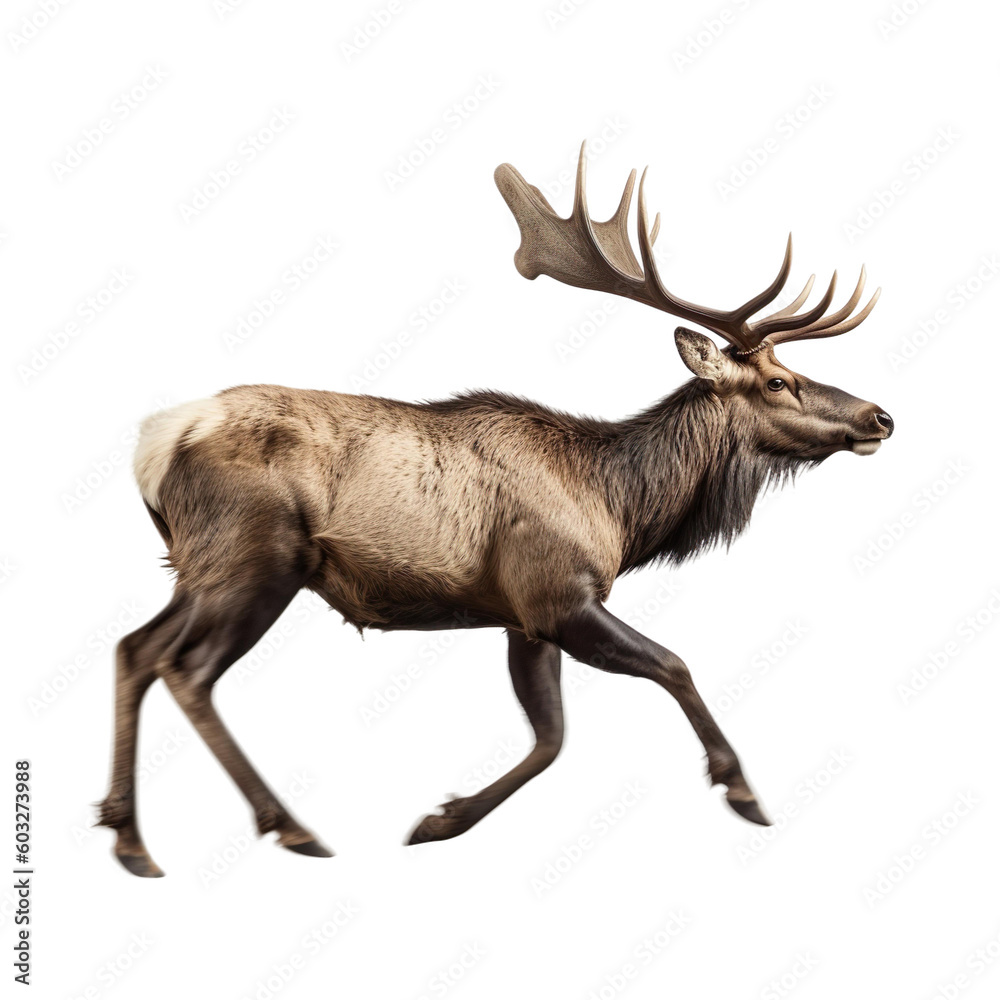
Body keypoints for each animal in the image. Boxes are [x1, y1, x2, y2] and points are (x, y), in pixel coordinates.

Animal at [96, 143, 893, 877]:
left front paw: (439, 820)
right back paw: (289, 828)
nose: (879, 416)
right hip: (257, 558)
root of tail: (157, 442)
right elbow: (672, 667)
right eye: (778, 381)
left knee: (135, 646)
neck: (621, 509)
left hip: (198, 566)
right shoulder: (558, 593)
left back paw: (129, 838)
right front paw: (742, 791)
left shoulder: (522, 618)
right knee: (187, 668)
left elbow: (551, 737)